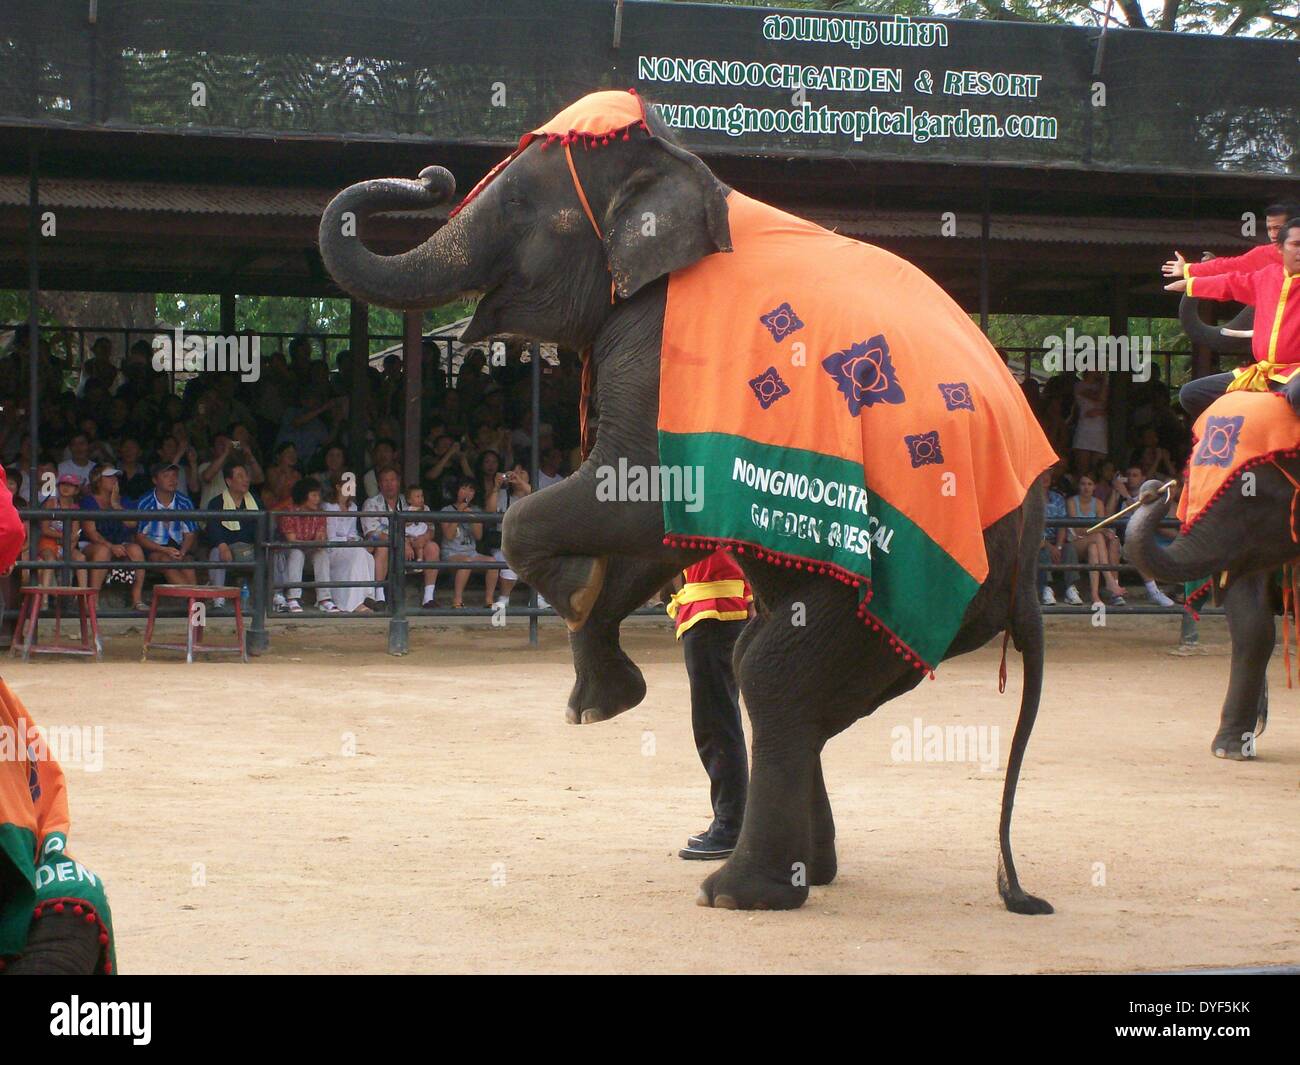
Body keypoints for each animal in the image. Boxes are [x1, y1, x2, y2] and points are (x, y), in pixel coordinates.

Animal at [319, 93, 1054, 914]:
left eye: (514, 206)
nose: (431, 174)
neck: (686, 170)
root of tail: (1027, 576)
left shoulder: (658, 344)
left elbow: (634, 493)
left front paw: (576, 598)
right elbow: (660, 528)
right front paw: (598, 685)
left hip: (923, 582)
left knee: (769, 676)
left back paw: (739, 891)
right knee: (786, 681)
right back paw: (809, 870)